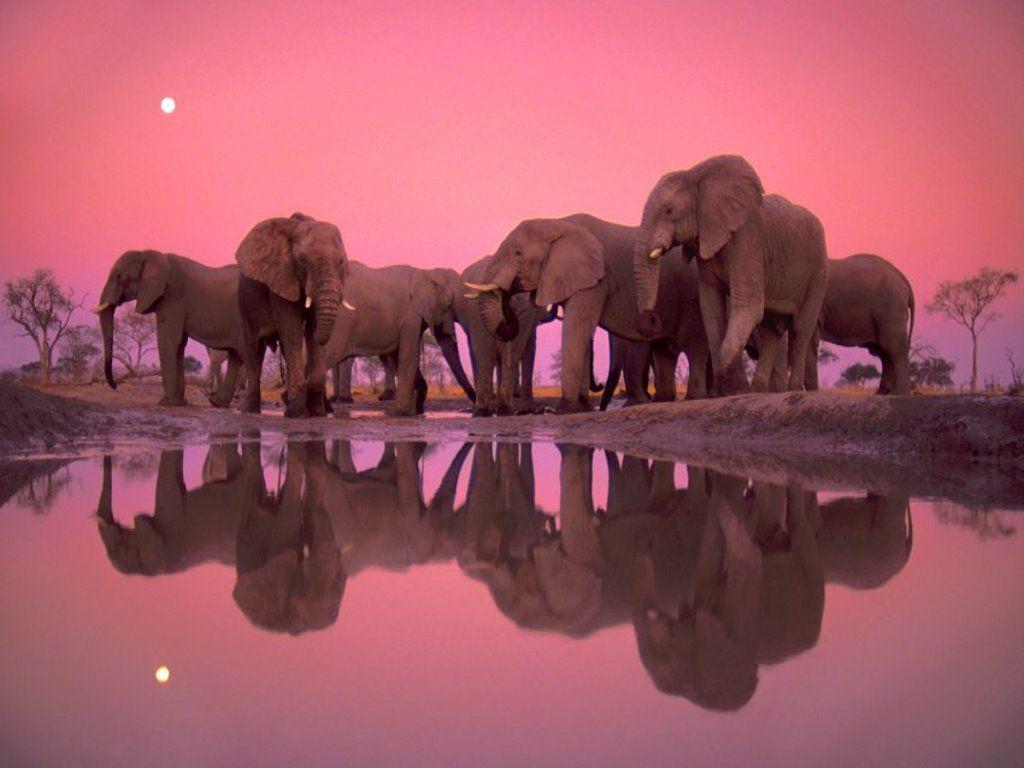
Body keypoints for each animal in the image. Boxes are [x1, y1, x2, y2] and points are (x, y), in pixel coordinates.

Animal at [93, 250, 245, 407]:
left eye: (119, 276)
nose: (115, 385)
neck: (149, 254)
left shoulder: (172, 297)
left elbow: (168, 340)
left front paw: (166, 402)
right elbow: (179, 345)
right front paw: (179, 402)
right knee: (235, 356)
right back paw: (217, 402)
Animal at [235, 212, 350, 418]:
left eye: (341, 262)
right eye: (303, 261)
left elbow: (312, 332)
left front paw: (317, 413)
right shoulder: (281, 278)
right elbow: (292, 331)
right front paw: (297, 413)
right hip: (244, 300)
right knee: (254, 349)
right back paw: (249, 411)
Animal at [321, 262, 474, 416]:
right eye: (449, 305)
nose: (469, 409)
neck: (426, 273)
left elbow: (398, 357)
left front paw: (412, 410)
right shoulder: (411, 316)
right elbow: (408, 356)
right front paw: (403, 412)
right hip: (342, 322)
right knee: (331, 353)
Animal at [470, 214, 715, 413]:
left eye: (518, 253)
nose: (507, 295)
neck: (557, 223)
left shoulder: (595, 279)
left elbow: (576, 328)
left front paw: (563, 410)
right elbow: (582, 331)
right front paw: (582, 406)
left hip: (692, 297)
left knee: (694, 346)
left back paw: (694, 398)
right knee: (664, 349)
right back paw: (662, 400)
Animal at [633, 155, 829, 392]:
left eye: (669, 211)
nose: (651, 318)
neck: (697, 176)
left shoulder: (746, 240)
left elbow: (747, 305)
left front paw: (734, 387)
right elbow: (711, 307)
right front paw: (726, 390)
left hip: (818, 271)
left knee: (801, 329)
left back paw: (791, 390)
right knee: (770, 331)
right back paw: (758, 390)